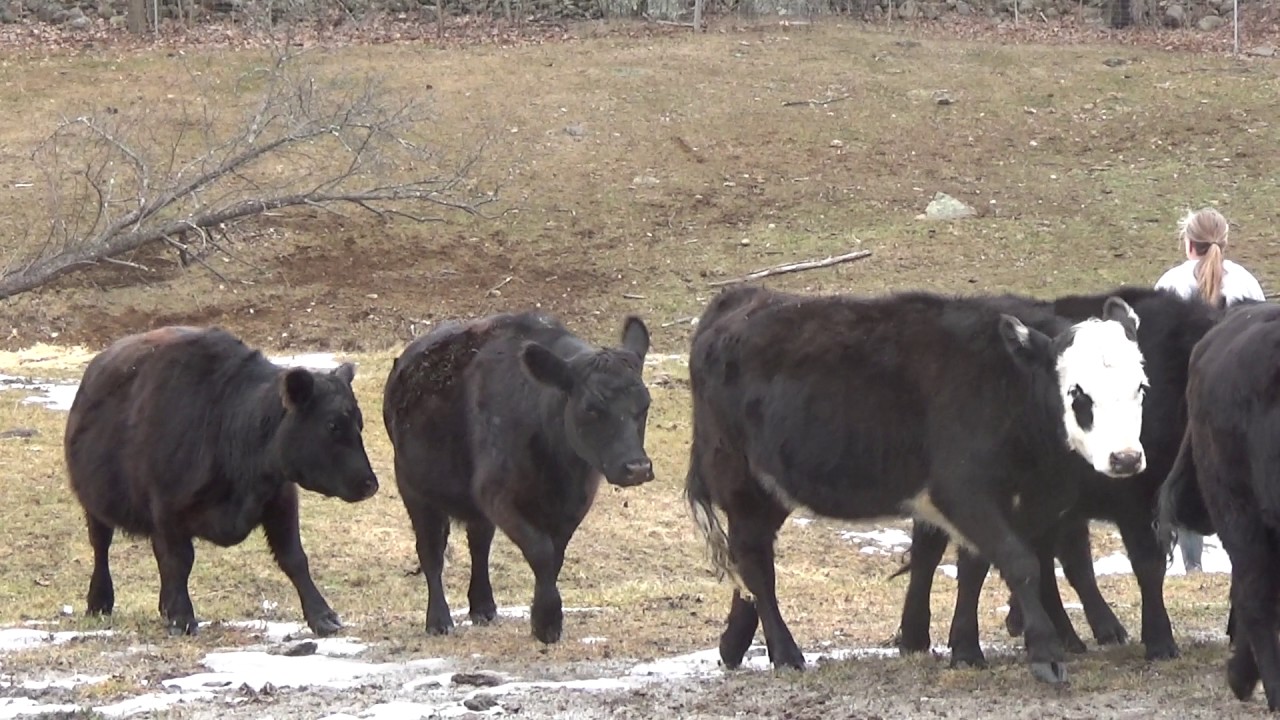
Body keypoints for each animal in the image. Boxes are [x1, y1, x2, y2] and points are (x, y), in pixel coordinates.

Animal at [64, 326, 379, 637]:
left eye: (360, 423)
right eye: (332, 424)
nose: (370, 484)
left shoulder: (281, 499)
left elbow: (294, 558)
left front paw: (322, 616)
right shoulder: (166, 510)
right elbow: (179, 561)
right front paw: (182, 618)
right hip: (94, 504)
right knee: (101, 547)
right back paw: (100, 601)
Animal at [383, 311, 654, 644]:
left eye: (645, 404)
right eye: (591, 408)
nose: (637, 467)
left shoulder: (575, 503)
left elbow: (555, 556)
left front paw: (543, 619)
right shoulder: (497, 495)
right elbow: (541, 552)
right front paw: (547, 622)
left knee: (479, 544)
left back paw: (483, 607)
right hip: (414, 488)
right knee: (431, 552)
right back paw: (439, 620)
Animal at [684, 285, 1149, 684]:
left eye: (1140, 387)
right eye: (1078, 394)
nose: (1126, 458)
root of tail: (739, 298)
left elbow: (974, 568)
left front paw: (965, 648)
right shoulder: (963, 491)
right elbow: (1020, 562)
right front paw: (1046, 653)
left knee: (749, 558)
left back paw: (733, 644)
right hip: (743, 482)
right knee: (755, 563)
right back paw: (785, 653)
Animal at [894, 287, 1220, 668]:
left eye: (1141, 387)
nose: (1125, 459)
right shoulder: (1134, 504)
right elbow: (1147, 566)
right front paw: (1160, 641)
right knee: (929, 555)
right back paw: (917, 635)